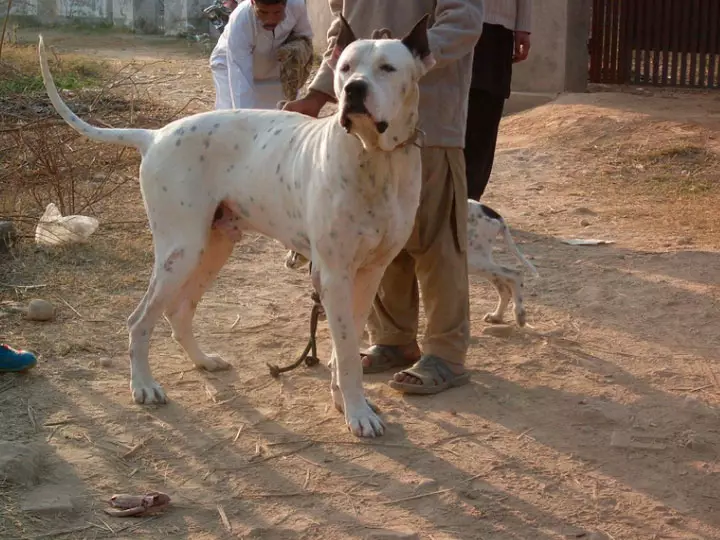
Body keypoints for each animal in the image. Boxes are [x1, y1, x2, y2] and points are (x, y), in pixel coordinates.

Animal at [36, 14, 436, 438]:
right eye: (344, 68)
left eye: (387, 68)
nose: (353, 89)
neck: (375, 158)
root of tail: (155, 134)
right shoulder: (334, 275)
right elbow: (344, 354)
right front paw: (357, 412)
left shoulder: (369, 272)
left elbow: (345, 347)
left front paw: (346, 402)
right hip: (181, 250)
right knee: (139, 320)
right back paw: (143, 385)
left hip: (213, 246)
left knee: (178, 312)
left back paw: (203, 361)